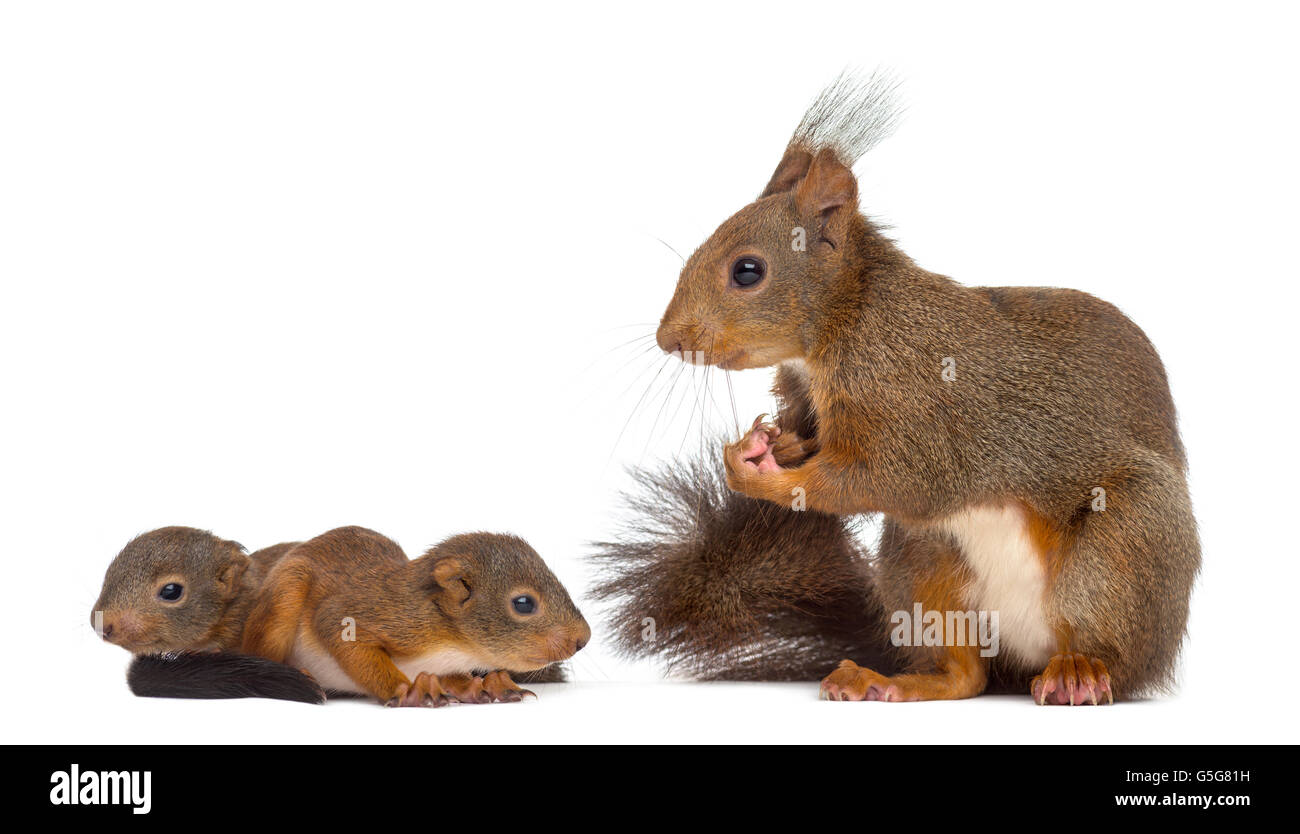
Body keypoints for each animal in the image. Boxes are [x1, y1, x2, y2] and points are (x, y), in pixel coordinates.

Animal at [240, 525, 591, 706]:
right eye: (523, 603)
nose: (583, 639)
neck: (453, 642)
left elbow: (456, 678)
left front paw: (485, 686)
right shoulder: (366, 615)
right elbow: (347, 641)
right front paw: (408, 691)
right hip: (285, 597)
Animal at [599, 72, 1199, 704]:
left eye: (747, 271)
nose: (668, 339)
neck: (846, 320)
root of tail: (1026, 658)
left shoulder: (915, 412)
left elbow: (878, 480)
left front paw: (758, 473)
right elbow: (809, 438)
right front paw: (768, 444)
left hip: (1123, 545)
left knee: (1112, 653)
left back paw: (1078, 671)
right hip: (923, 563)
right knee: (965, 675)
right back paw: (884, 680)